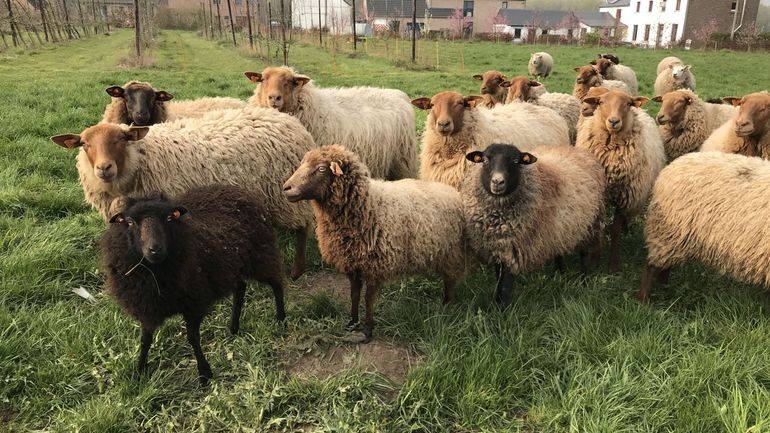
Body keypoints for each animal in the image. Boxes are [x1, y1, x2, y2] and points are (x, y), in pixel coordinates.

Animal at [99, 185, 284, 382]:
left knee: (276, 282)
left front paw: (204, 373)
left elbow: (193, 338)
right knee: (240, 289)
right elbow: (145, 341)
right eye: (130, 222)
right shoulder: (147, 308)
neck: (156, 274)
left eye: (169, 218)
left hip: (260, 254)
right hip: (232, 266)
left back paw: (281, 318)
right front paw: (139, 372)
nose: (155, 249)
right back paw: (233, 328)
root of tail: (237, 190)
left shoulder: (194, 303)